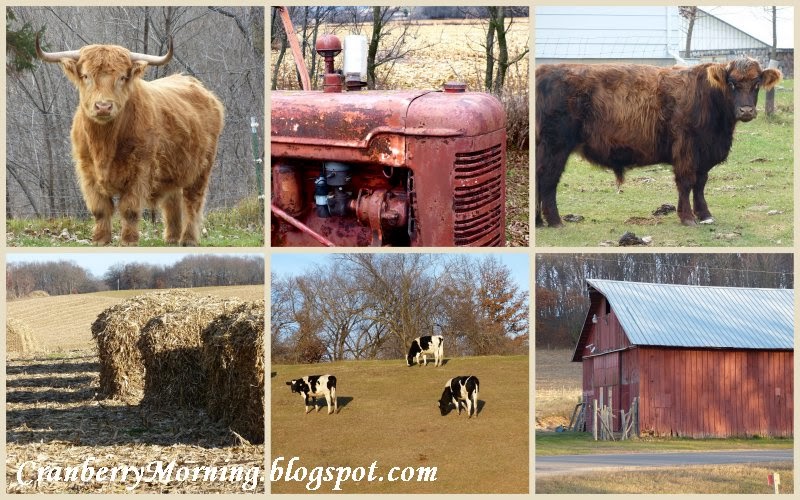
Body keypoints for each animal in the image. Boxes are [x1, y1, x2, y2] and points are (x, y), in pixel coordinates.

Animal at [36, 35, 225, 246]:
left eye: (122, 77)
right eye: (86, 76)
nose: (103, 106)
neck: (105, 144)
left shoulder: (140, 171)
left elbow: (129, 209)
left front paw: (128, 241)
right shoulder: (87, 172)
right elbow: (100, 209)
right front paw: (100, 240)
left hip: (202, 168)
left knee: (193, 203)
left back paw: (188, 239)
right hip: (173, 169)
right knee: (172, 200)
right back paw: (171, 238)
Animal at [535, 58, 782, 227]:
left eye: (757, 83)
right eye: (732, 83)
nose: (746, 110)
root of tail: (544, 71)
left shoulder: (703, 155)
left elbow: (700, 184)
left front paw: (705, 215)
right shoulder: (686, 150)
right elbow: (686, 182)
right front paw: (687, 217)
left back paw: (539, 222)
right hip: (555, 147)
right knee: (548, 181)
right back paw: (555, 221)